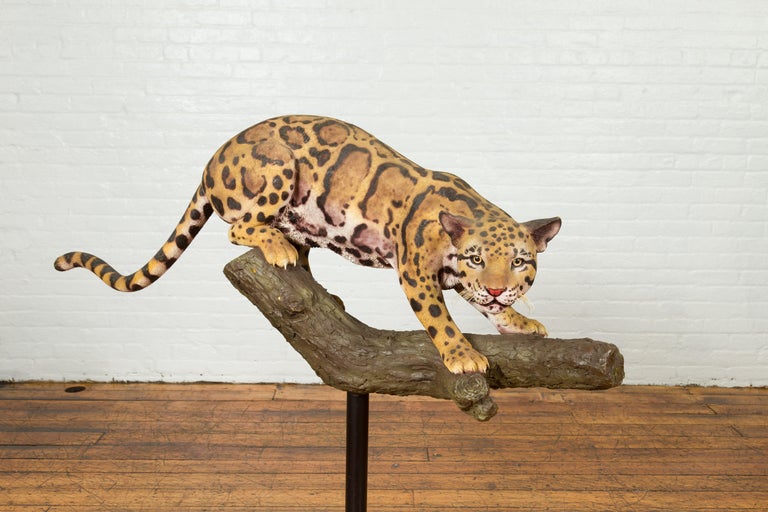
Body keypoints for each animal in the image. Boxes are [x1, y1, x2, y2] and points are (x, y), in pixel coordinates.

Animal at [54, 115, 561, 374]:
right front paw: (462, 356)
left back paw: (316, 285)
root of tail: (210, 162)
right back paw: (274, 248)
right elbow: (440, 318)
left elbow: (485, 308)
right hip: (275, 169)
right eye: (476, 257)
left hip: (303, 219)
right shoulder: (417, 272)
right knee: (238, 226)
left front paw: (519, 322)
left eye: (520, 262)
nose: (497, 287)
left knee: (298, 250)